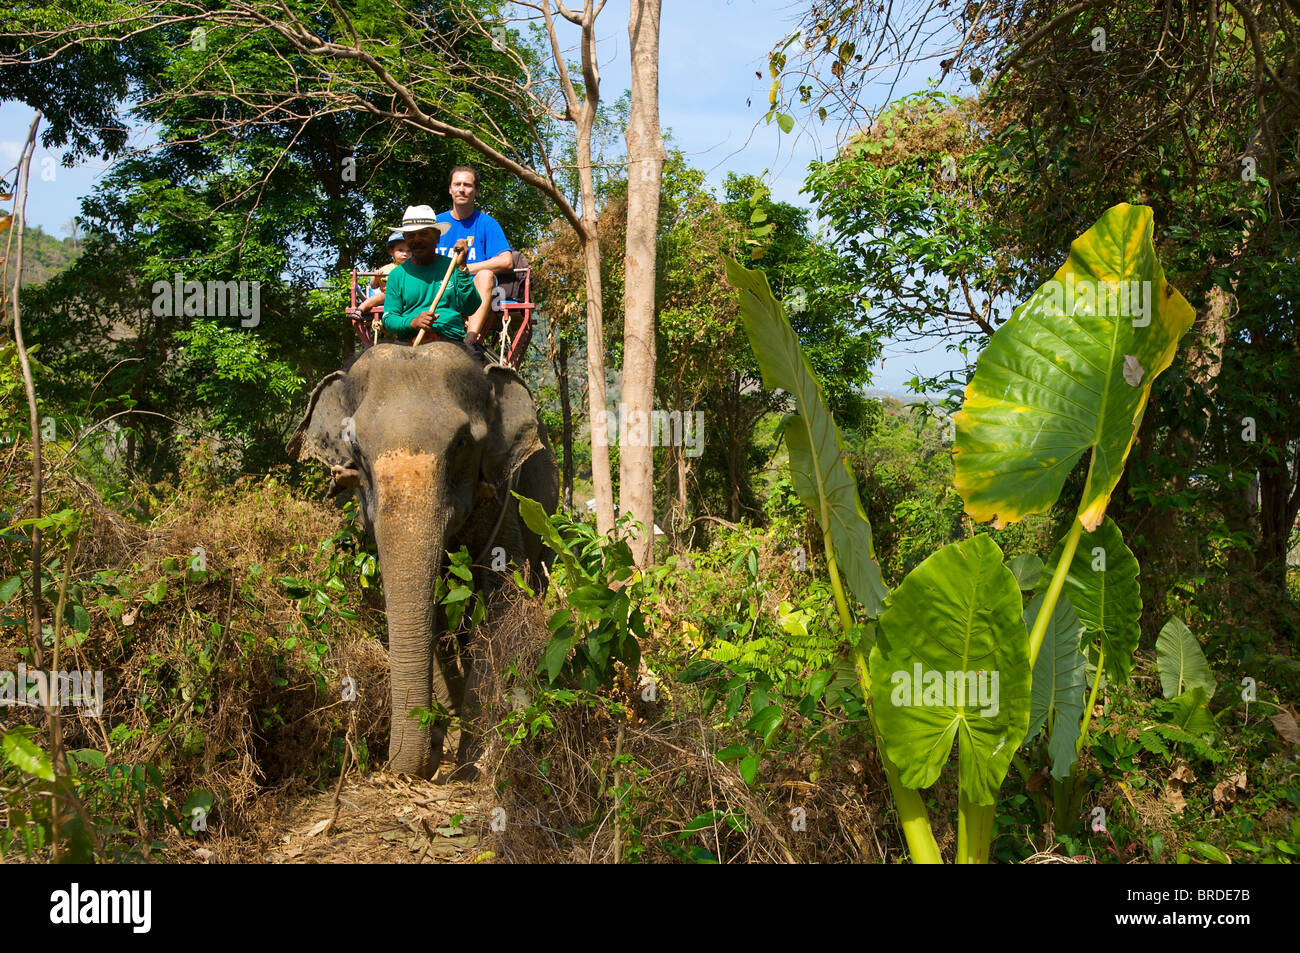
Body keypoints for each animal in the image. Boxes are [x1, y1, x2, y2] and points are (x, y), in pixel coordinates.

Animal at [288, 341, 558, 779]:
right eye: (355, 450)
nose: (399, 768)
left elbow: (501, 603)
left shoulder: (503, 500)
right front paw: (441, 736)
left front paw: (469, 762)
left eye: (462, 443)